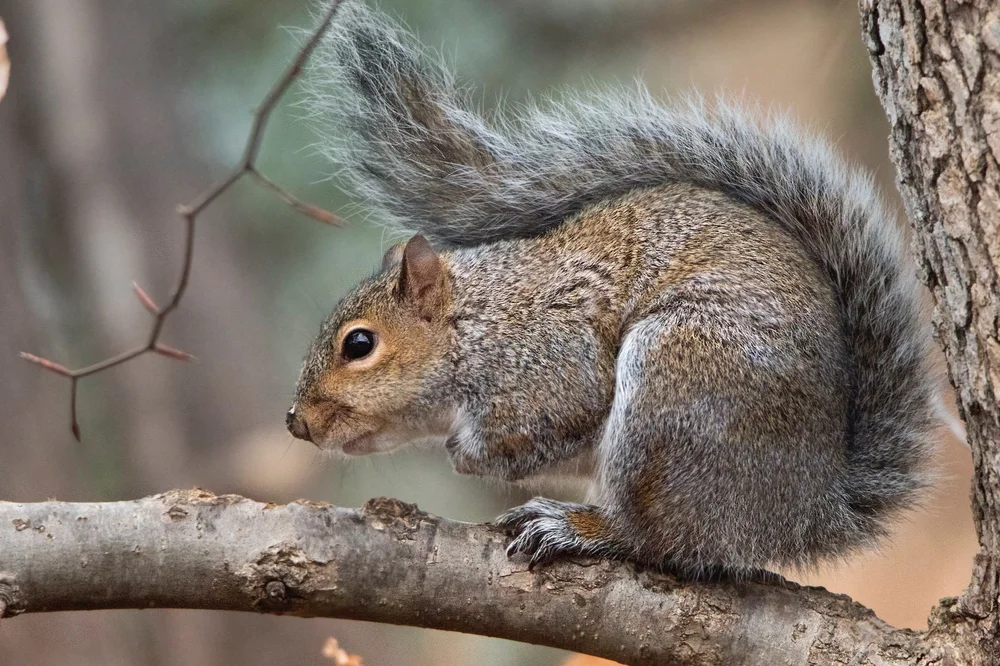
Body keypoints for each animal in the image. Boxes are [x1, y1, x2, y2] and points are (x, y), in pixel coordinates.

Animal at [286, 0, 940, 577]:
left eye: (359, 344)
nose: (296, 421)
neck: (477, 323)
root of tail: (808, 511)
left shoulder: (549, 359)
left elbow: (561, 414)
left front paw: (468, 453)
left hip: (676, 386)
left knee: (659, 539)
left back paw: (578, 528)